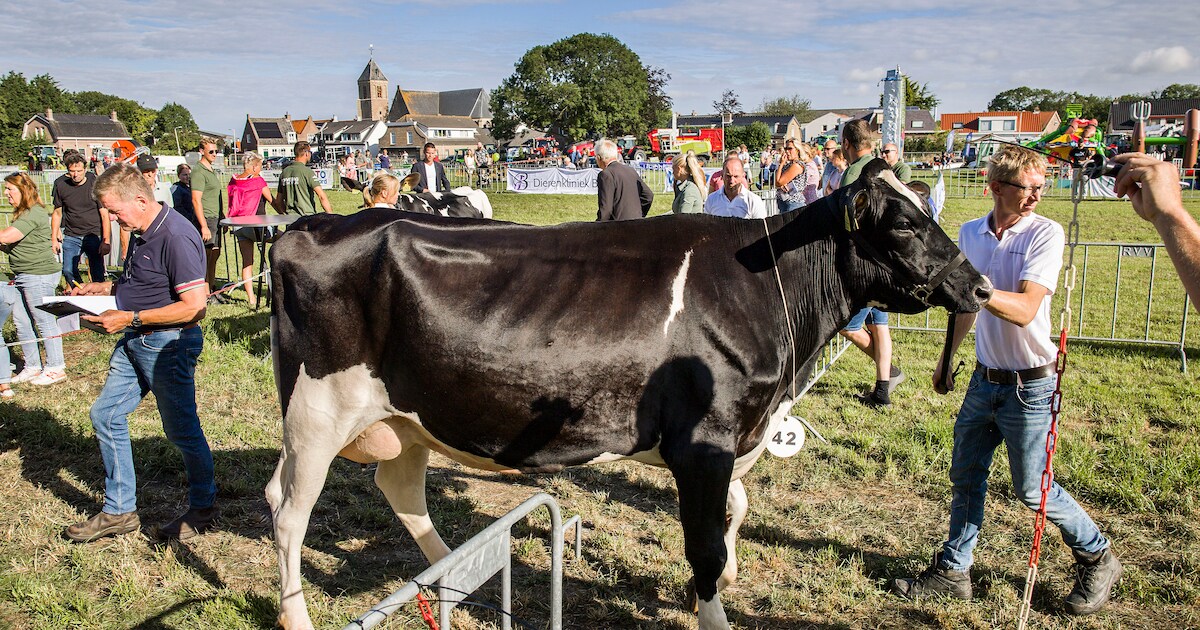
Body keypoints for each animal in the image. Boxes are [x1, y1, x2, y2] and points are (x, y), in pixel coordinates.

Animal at [265, 160, 992, 630]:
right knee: (287, 511)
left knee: (399, 487)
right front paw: (713, 604)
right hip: (316, 412)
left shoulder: (729, 436)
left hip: (411, 413)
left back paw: (454, 577)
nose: (980, 285)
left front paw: (724, 578)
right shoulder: (703, 442)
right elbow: (704, 542)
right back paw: (299, 616)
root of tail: (315, 223)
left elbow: (736, 508)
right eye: (902, 224)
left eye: (927, 208)